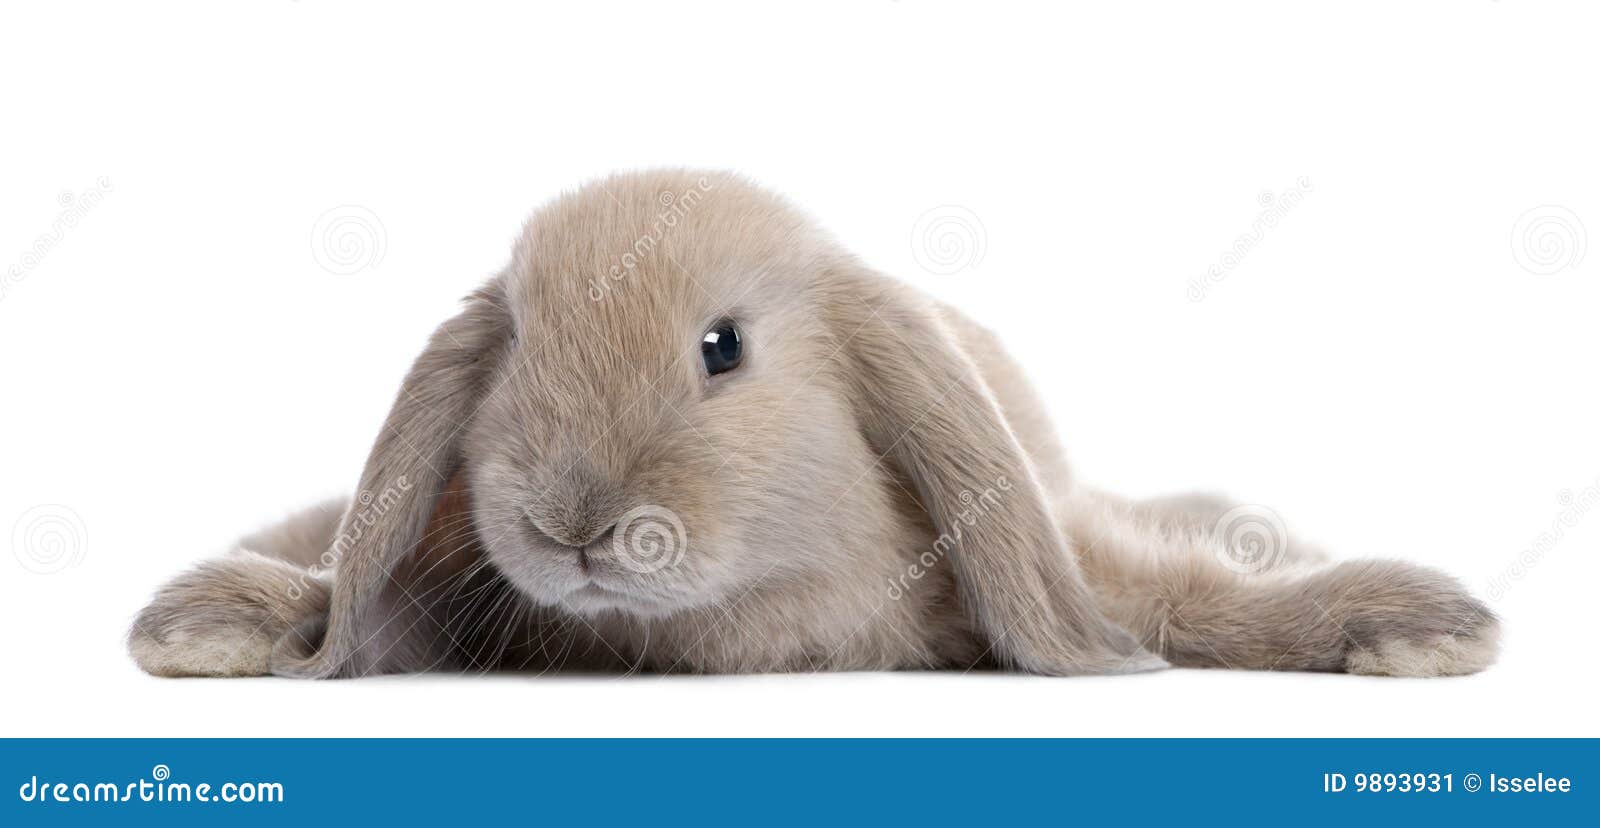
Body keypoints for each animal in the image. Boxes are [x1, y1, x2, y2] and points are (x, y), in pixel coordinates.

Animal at [128, 169, 1499, 679]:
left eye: (722, 348)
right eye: (513, 339)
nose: (570, 523)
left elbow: (1193, 601)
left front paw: (1421, 624)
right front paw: (212, 623)